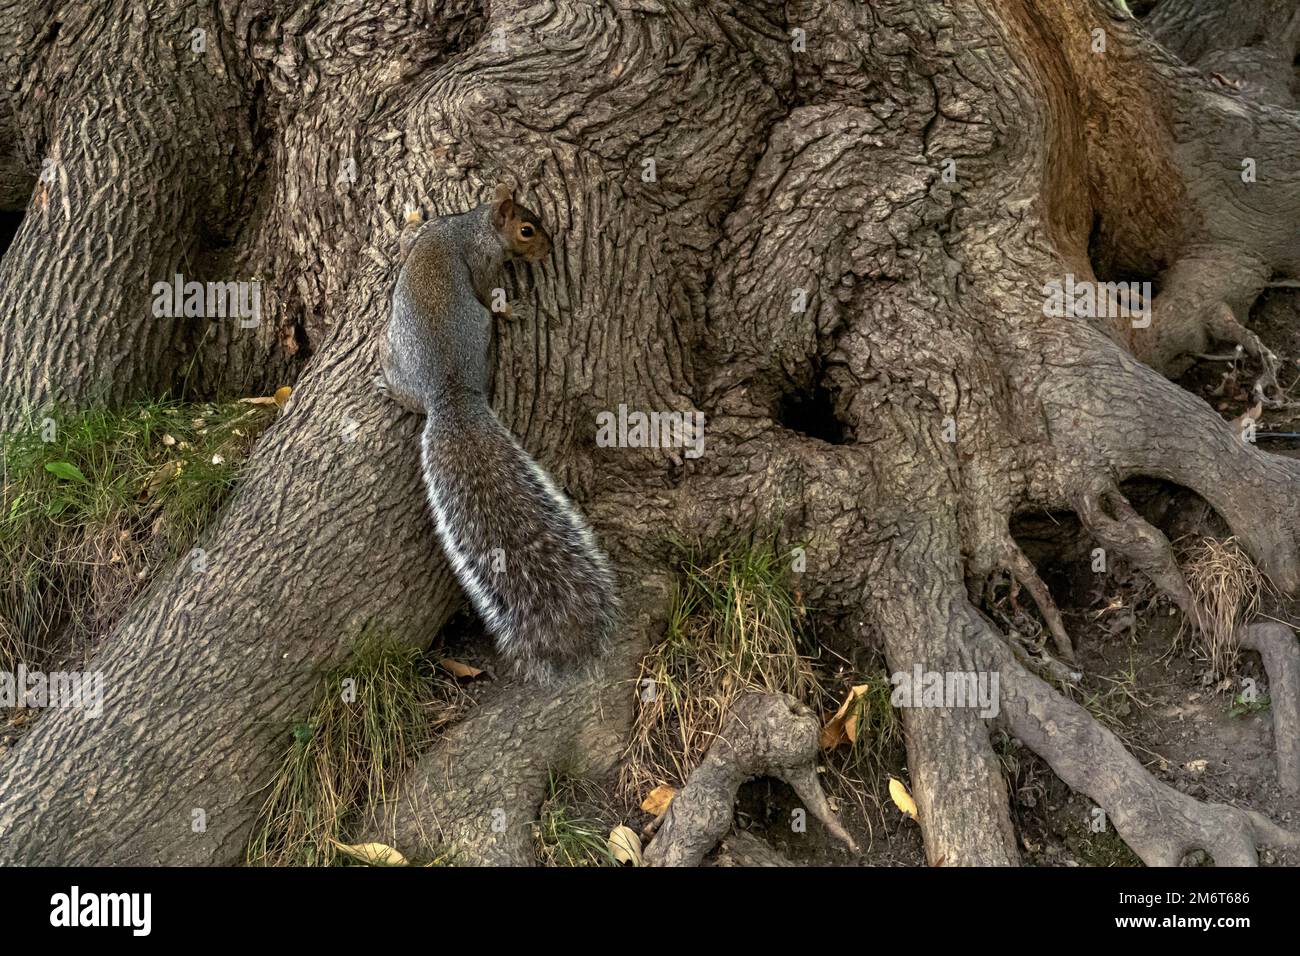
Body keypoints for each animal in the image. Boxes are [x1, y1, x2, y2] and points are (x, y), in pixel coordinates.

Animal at [379, 183, 619, 683]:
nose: (548, 249)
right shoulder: (484, 259)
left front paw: (408, 223)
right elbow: (486, 290)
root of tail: (450, 391)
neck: (470, 223)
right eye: (527, 229)